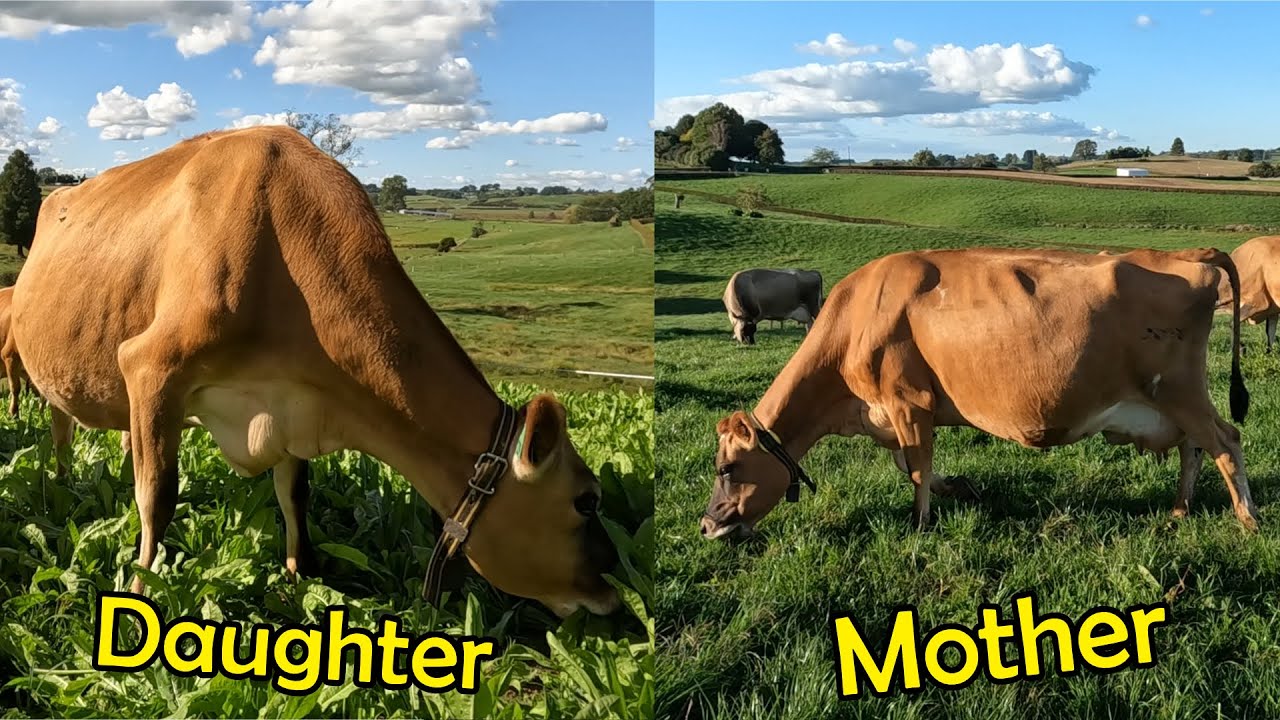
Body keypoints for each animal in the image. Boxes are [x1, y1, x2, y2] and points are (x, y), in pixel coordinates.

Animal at [11, 126, 619, 617]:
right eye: (587, 500)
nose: (612, 594)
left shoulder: (295, 403)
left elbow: (294, 495)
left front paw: (298, 576)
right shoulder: (150, 366)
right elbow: (156, 497)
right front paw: (141, 592)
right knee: (61, 429)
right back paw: (62, 485)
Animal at [701, 247, 1258, 542]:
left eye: (727, 468)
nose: (706, 526)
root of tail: (1187, 256)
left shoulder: (908, 402)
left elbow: (915, 468)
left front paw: (920, 524)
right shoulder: (900, 413)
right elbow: (911, 464)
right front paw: (960, 487)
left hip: (1180, 391)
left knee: (1226, 442)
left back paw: (1248, 519)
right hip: (1173, 400)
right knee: (1194, 447)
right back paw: (1180, 509)